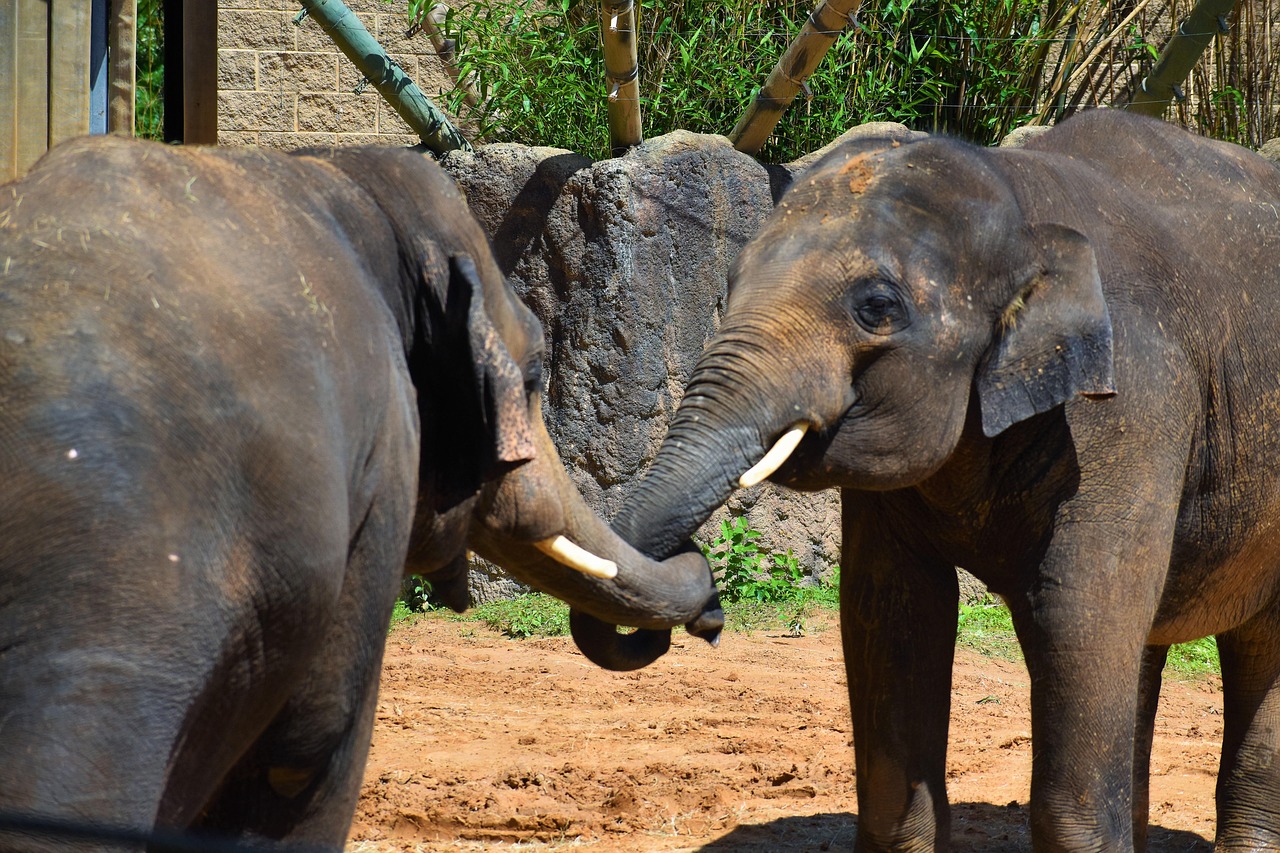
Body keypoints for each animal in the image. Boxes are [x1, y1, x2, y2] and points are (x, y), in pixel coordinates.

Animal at [612, 109, 1280, 851]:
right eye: (728, 283)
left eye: (877, 306)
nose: (707, 613)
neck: (1017, 195)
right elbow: (892, 610)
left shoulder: (1132, 407)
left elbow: (1076, 612)